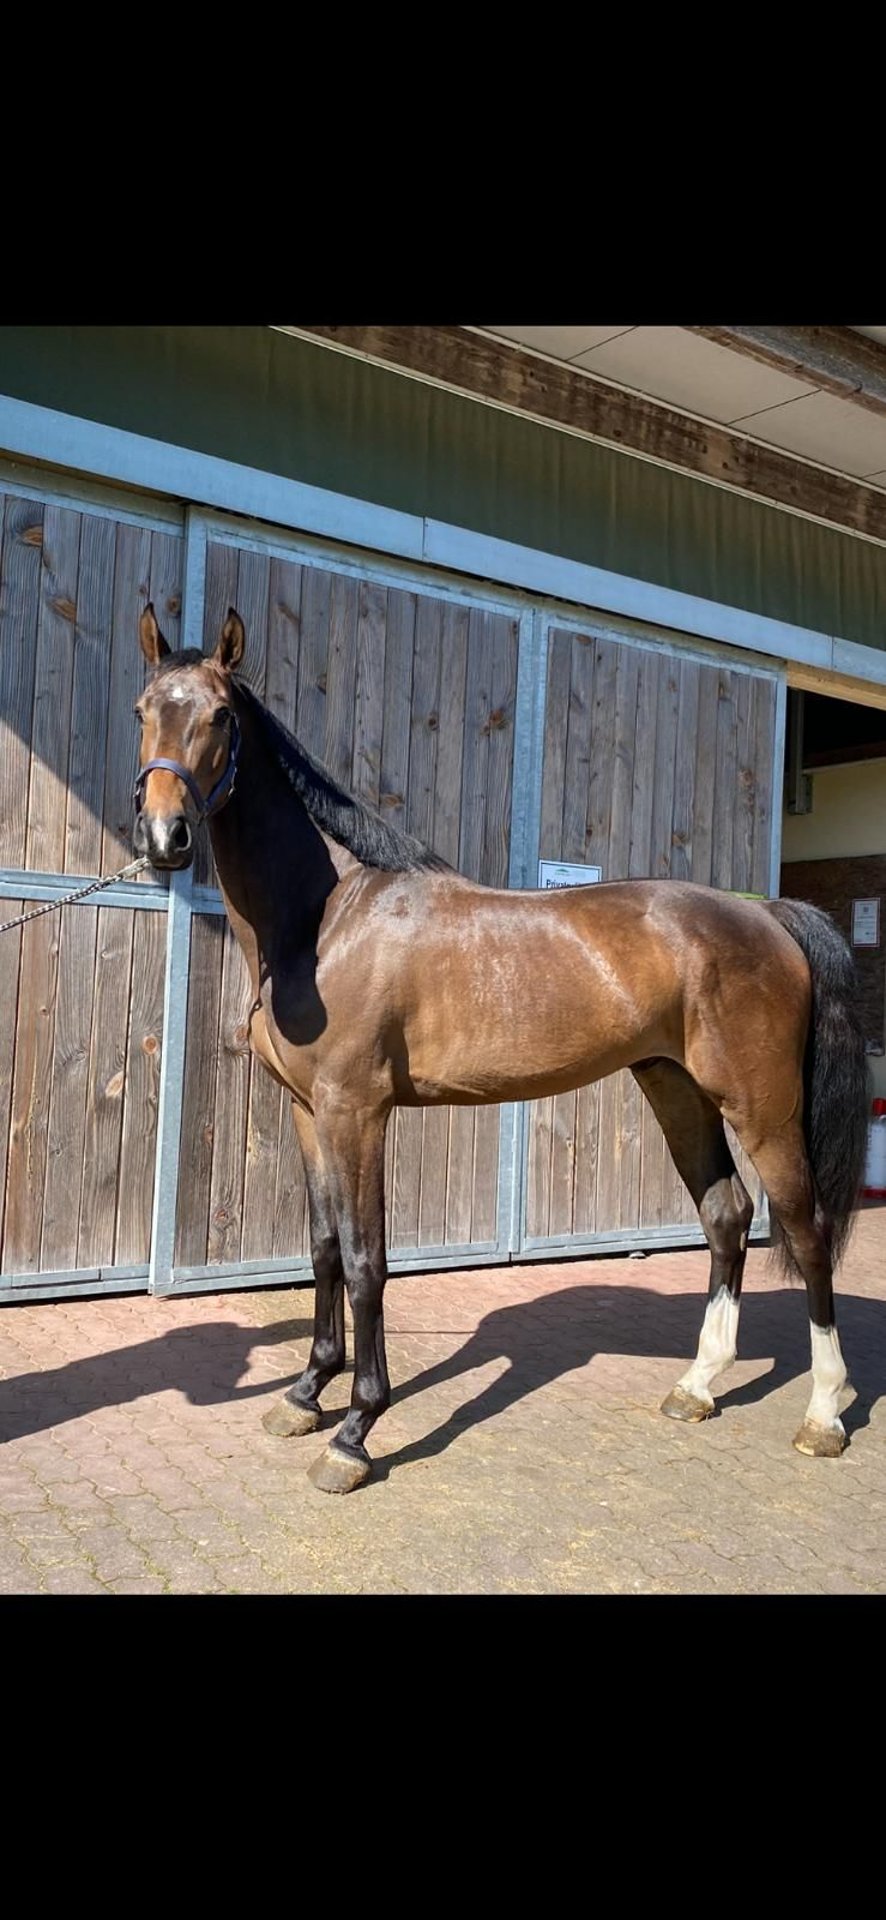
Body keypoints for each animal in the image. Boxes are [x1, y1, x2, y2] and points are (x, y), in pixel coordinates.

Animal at [133, 602, 868, 1493]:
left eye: (220, 716)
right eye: (142, 709)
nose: (165, 836)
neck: (324, 918)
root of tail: (766, 914)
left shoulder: (358, 1111)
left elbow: (367, 1258)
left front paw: (355, 1431)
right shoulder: (310, 1113)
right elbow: (323, 1248)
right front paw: (306, 1393)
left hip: (762, 1107)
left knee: (807, 1228)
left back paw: (824, 1414)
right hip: (675, 1088)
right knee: (727, 1216)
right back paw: (696, 1387)